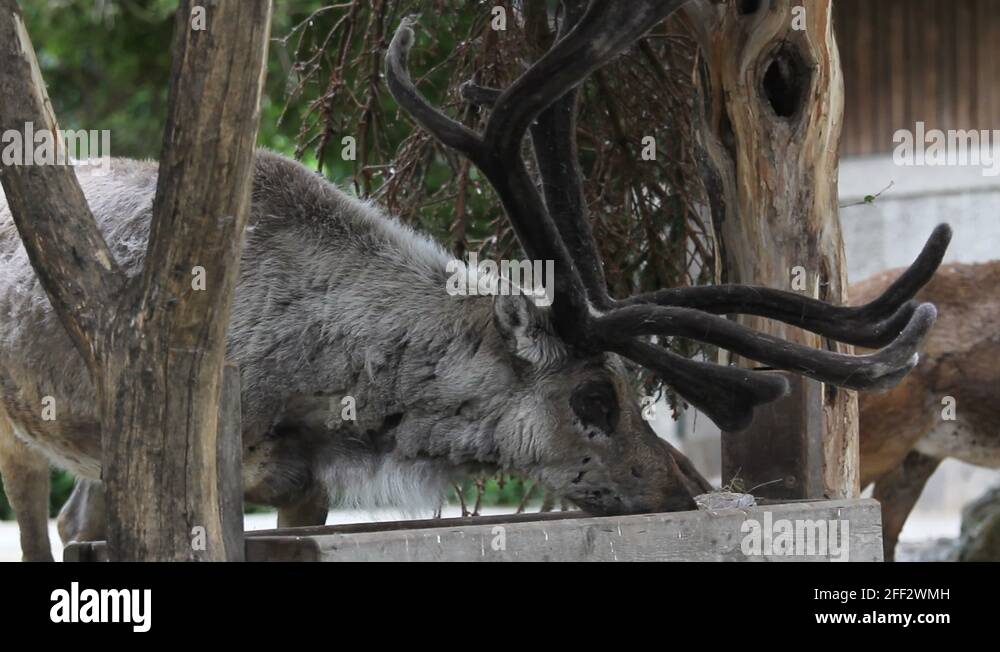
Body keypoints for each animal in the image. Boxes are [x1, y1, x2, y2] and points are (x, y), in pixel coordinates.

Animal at [0, 0, 948, 561]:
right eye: (594, 396)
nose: (684, 486)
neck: (322, 374)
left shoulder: (299, 484)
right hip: (21, 431)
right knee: (41, 522)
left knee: (73, 522)